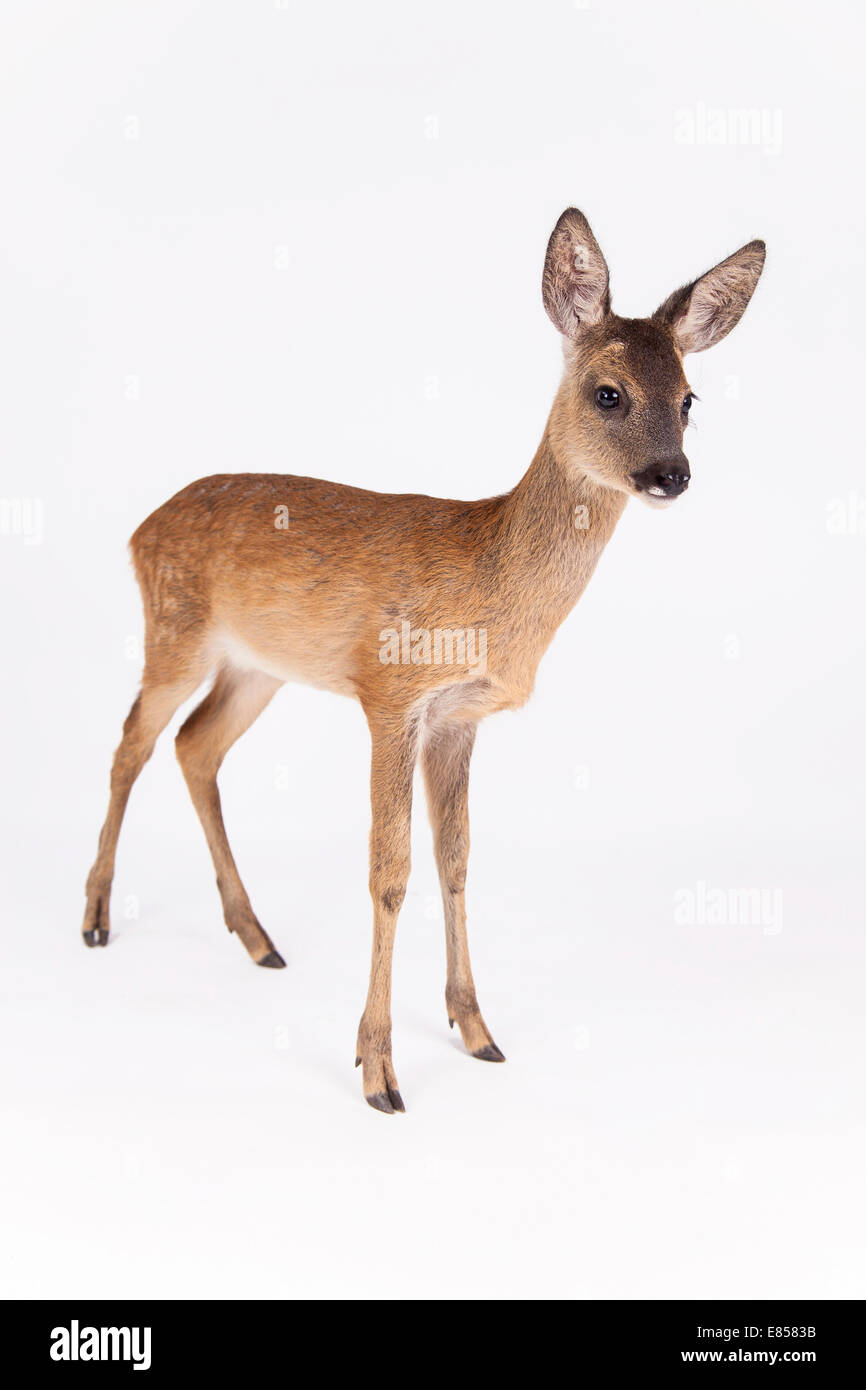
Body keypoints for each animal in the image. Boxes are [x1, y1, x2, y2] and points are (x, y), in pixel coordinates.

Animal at [81, 208, 765, 1113]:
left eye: (690, 399)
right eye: (608, 392)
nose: (671, 474)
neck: (489, 584)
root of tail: (138, 530)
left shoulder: (458, 717)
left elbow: (457, 859)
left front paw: (476, 1030)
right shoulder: (390, 693)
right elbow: (390, 869)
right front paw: (379, 1070)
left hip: (257, 668)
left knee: (196, 747)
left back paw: (259, 938)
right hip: (174, 630)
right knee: (131, 742)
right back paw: (96, 918)